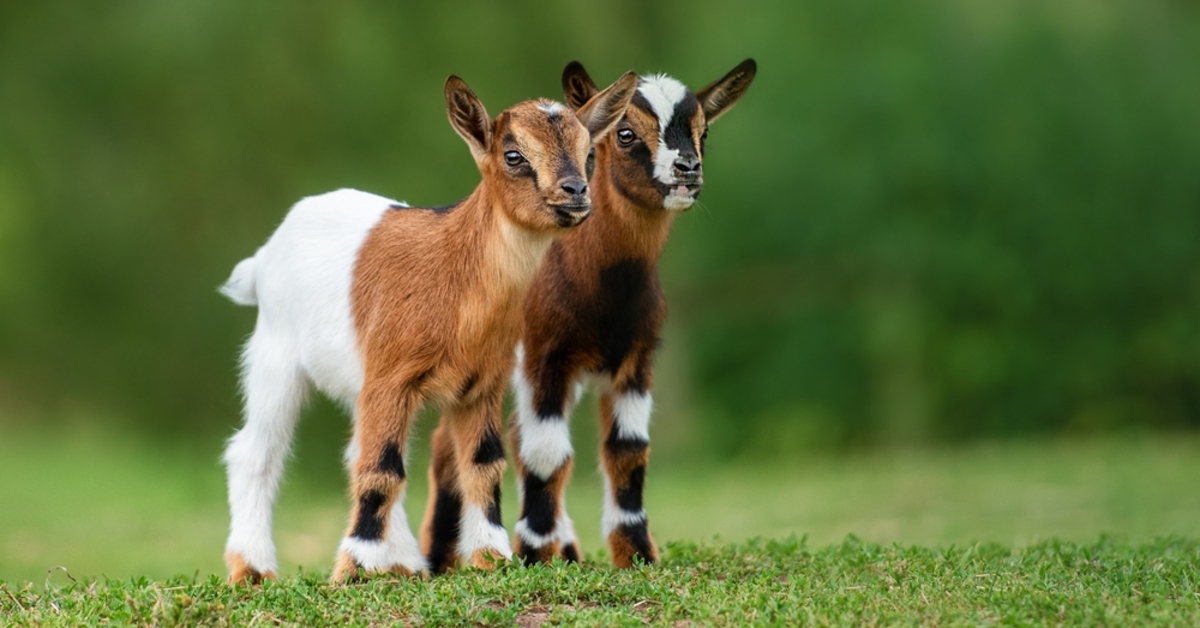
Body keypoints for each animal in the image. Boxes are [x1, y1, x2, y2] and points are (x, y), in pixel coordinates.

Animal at [220, 72, 637, 584]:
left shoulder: (481, 385)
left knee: (356, 451)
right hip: (276, 354)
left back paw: (401, 562)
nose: (576, 191)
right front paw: (353, 569)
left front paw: (490, 556)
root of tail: (264, 256)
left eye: (590, 154)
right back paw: (253, 569)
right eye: (513, 155)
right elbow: (382, 469)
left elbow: (483, 464)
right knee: (257, 451)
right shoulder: (391, 378)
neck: (456, 276)